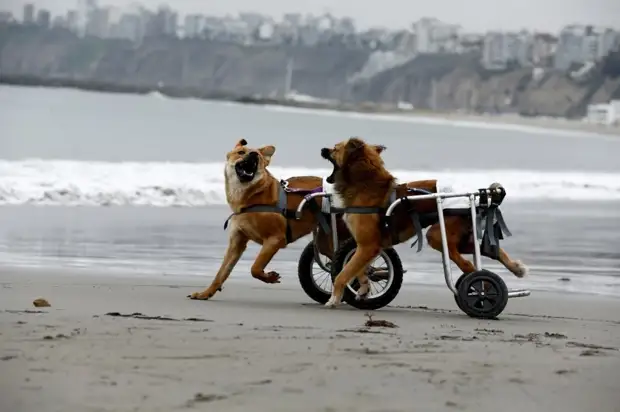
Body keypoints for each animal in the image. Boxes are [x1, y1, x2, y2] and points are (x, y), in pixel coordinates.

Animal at [188, 138, 354, 300]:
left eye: (257, 155)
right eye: (241, 152)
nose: (253, 155)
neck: (251, 196)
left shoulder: (275, 239)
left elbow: (255, 267)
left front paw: (268, 277)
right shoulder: (236, 243)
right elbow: (221, 273)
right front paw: (205, 293)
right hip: (325, 241)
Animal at [320, 137, 528, 308]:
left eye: (336, 148)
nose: (322, 149)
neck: (365, 184)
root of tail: (474, 199)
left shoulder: (368, 245)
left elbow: (344, 273)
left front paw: (334, 298)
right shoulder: (368, 247)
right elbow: (359, 269)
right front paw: (364, 288)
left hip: (436, 235)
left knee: (469, 266)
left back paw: (481, 289)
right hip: (459, 238)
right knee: (490, 251)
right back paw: (516, 269)